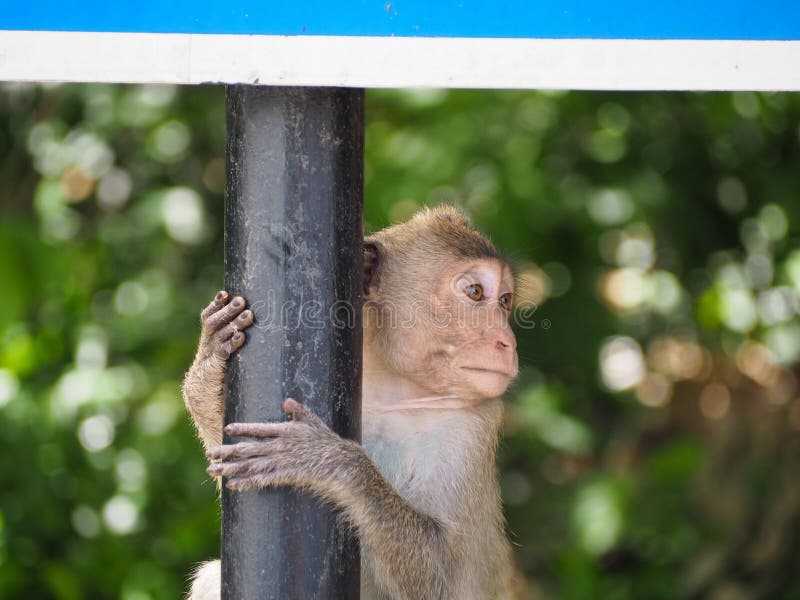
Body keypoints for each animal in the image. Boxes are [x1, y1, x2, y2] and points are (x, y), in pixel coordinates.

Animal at [183, 205, 523, 599]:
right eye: (475, 292)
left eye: (504, 301)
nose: (507, 341)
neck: (393, 389)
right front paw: (210, 358)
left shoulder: (474, 425)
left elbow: (447, 581)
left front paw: (327, 460)